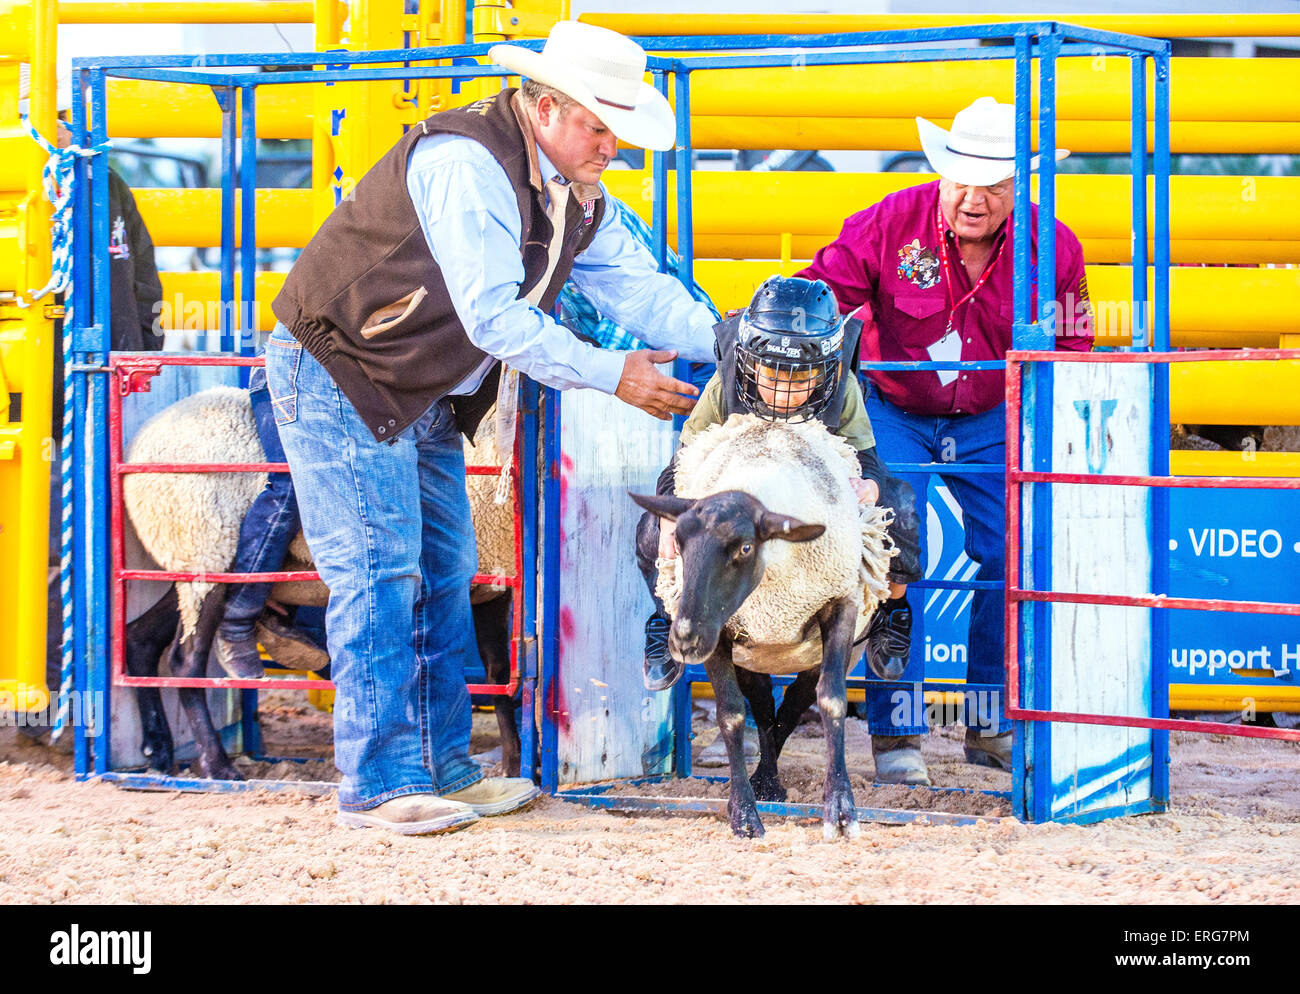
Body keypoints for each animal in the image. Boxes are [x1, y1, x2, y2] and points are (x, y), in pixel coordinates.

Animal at [122, 386, 521, 780]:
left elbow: (499, 675)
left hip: (190, 566)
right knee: (185, 661)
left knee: (142, 638)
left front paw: (514, 765)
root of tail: (142, 441)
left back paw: (158, 752)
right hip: (206, 550)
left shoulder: (494, 586)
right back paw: (217, 764)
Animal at [632, 413, 895, 840]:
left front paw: (841, 811)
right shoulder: (720, 634)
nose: (685, 638)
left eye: (744, 547)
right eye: (679, 543)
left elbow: (832, 700)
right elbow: (731, 715)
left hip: (818, 654)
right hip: (750, 657)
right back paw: (766, 781)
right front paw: (744, 815)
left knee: (791, 707)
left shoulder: (840, 604)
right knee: (763, 707)